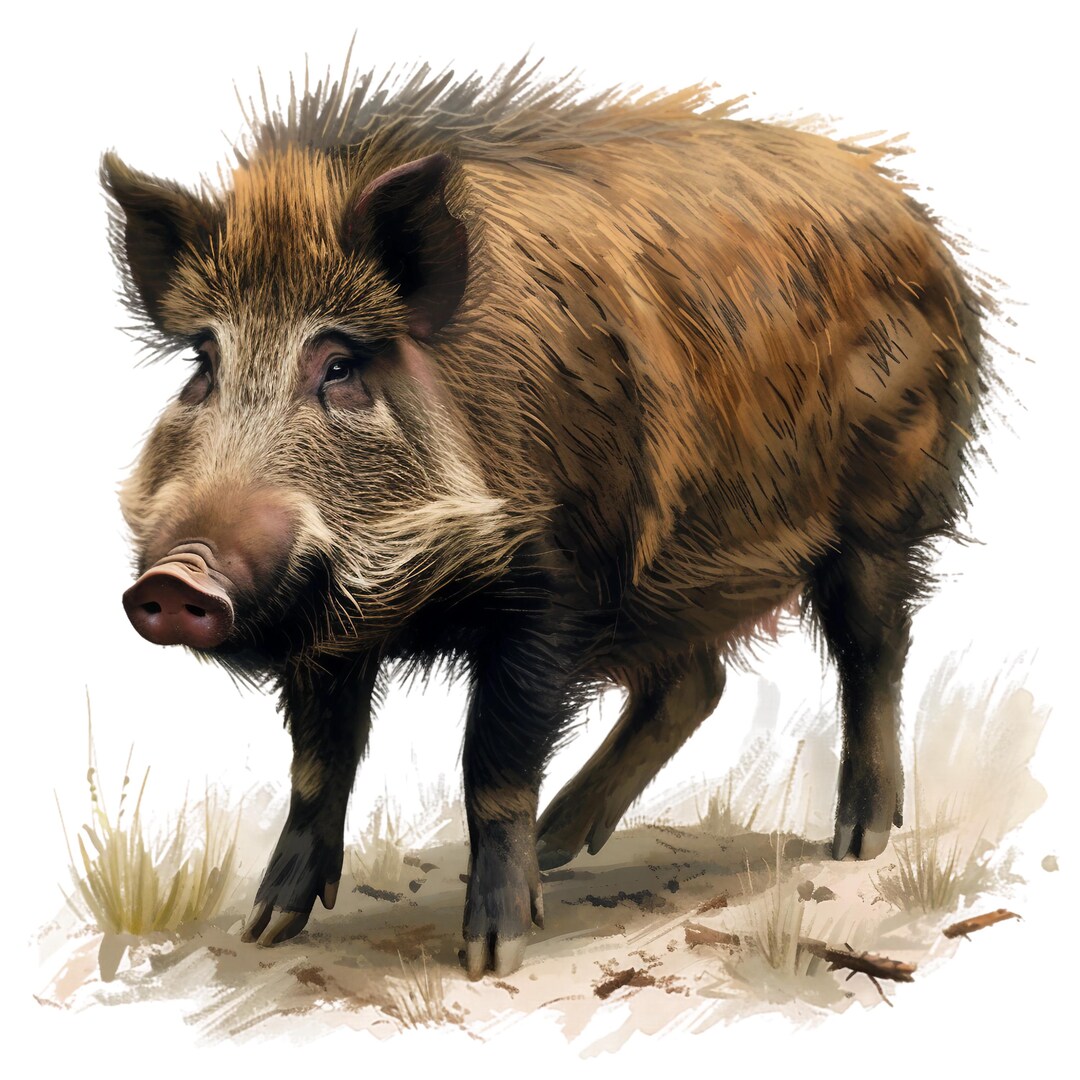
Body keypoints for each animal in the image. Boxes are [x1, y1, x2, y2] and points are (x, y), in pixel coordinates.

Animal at [104, 59, 990, 978]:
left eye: (341, 365)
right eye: (203, 365)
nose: (177, 576)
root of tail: (914, 222)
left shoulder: (554, 588)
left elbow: (492, 765)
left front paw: (492, 954)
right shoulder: (330, 628)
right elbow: (319, 765)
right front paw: (264, 927)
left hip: (883, 508)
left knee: (873, 651)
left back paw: (859, 840)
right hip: (672, 570)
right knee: (694, 683)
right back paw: (566, 842)